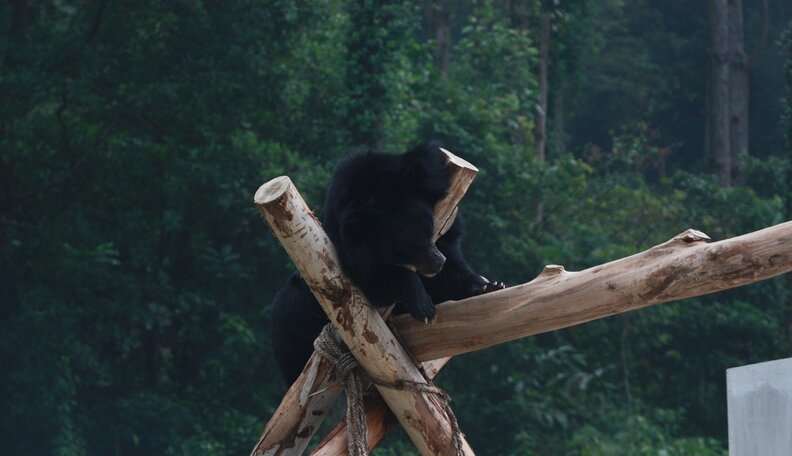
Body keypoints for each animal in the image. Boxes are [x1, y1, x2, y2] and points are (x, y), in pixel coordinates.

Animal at [271, 142, 501, 384]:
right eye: (402, 249)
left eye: (429, 229)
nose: (437, 262)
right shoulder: (347, 256)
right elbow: (373, 284)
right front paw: (425, 309)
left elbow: (452, 268)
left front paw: (488, 286)